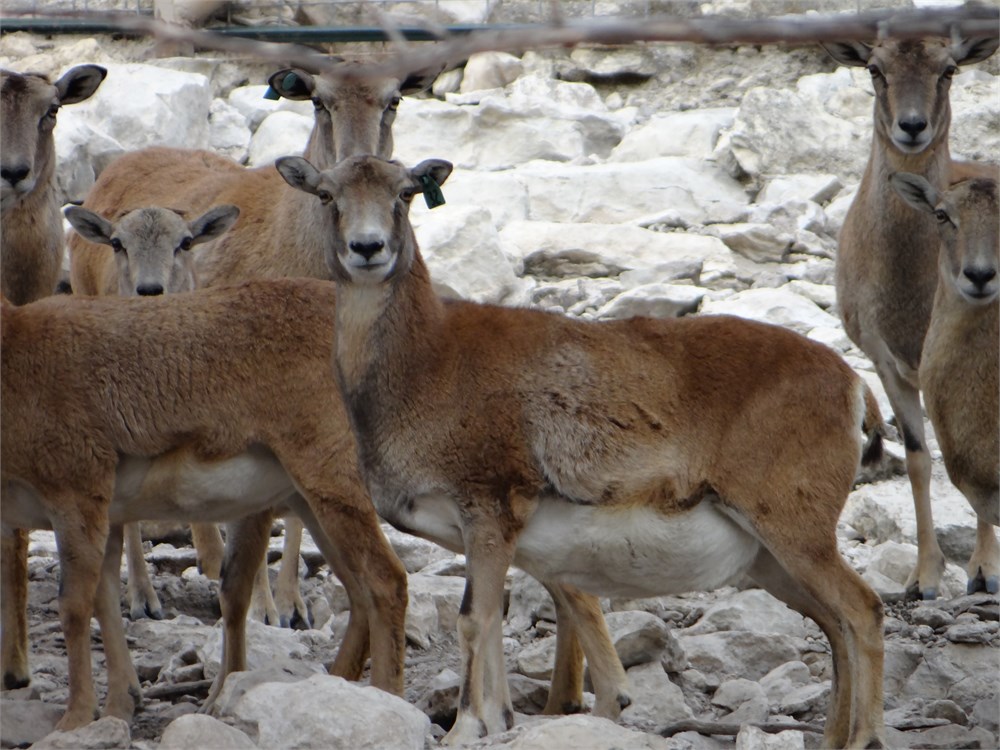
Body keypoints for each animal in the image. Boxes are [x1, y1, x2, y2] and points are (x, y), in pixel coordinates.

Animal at [0, 279, 408, 730]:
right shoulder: (102, 517)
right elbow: (105, 601)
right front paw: (119, 708)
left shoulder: (75, 497)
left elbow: (74, 607)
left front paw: (74, 719)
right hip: (313, 504)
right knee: (359, 595)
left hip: (333, 485)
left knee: (387, 582)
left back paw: (389, 699)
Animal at [276, 153, 888, 749]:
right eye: (327, 195)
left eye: (404, 192)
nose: (368, 248)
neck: (429, 363)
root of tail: (852, 388)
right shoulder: (492, 539)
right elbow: (492, 624)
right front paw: (498, 720)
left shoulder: (489, 514)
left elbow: (474, 620)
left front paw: (466, 728)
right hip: (772, 561)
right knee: (834, 627)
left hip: (796, 535)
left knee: (862, 611)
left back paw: (864, 738)